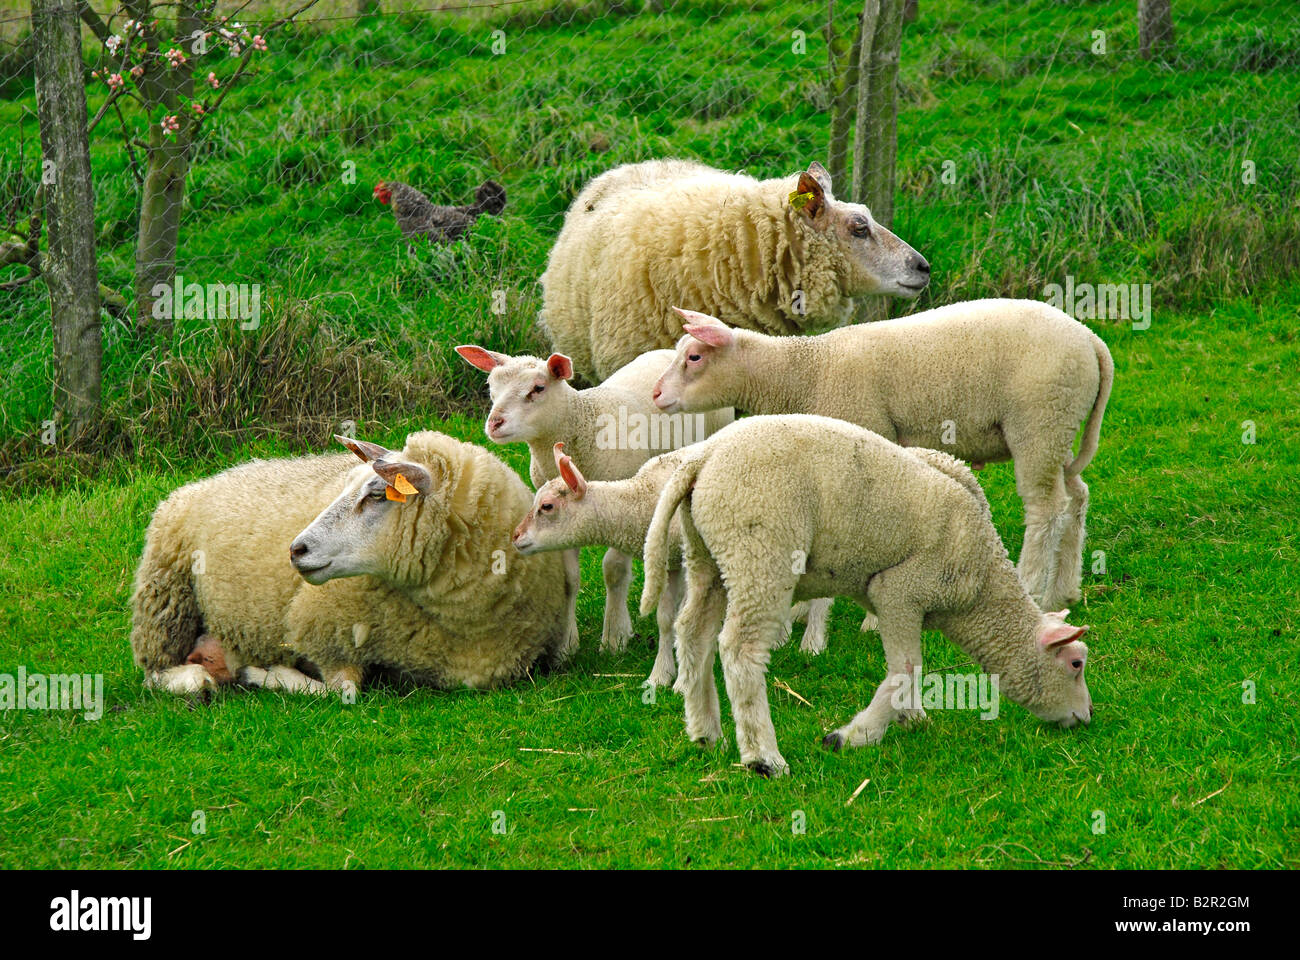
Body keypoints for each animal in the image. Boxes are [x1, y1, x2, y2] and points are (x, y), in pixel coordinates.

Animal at [130, 431, 572, 696]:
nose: (296, 549)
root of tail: (211, 478)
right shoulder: (319, 628)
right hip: (165, 591)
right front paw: (268, 675)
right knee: (153, 670)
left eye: (376, 495)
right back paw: (195, 679)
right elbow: (344, 692)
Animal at [455, 343, 733, 652]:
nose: (495, 423)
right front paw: (567, 643)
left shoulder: (622, 501)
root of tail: (669, 348)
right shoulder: (566, 518)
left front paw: (615, 636)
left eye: (538, 388)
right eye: (491, 387)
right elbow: (569, 578)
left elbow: (614, 571)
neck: (582, 424)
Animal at [639, 415, 1094, 778]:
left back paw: (706, 734)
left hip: (707, 556)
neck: (980, 586)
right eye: (1075, 664)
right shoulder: (901, 589)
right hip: (760, 553)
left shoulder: (897, 602)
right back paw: (763, 758)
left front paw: (912, 716)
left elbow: (906, 666)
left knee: (692, 632)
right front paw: (854, 735)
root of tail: (703, 459)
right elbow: (907, 668)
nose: (1087, 718)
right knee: (739, 650)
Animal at [652, 301, 1115, 611]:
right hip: (1059, 429)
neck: (805, 371)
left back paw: (1032, 585)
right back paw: (1064, 590)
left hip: (1039, 421)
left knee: (1046, 508)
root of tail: (1090, 340)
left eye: (694, 357)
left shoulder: (865, 431)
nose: (656, 395)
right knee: (1075, 497)